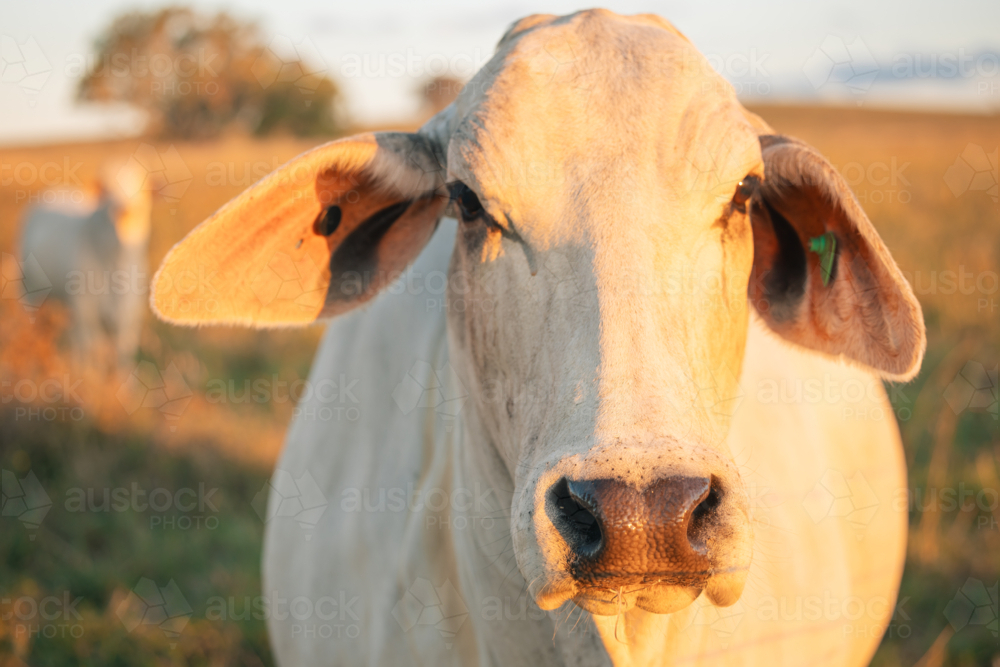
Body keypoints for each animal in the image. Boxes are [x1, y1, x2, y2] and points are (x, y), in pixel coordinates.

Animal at [20, 159, 152, 373]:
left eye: (145, 189)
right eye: (106, 189)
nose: (125, 211)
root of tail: (58, 189)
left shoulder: (128, 315)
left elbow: (124, 354)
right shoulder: (86, 311)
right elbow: (92, 349)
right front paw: (91, 376)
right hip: (29, 290)